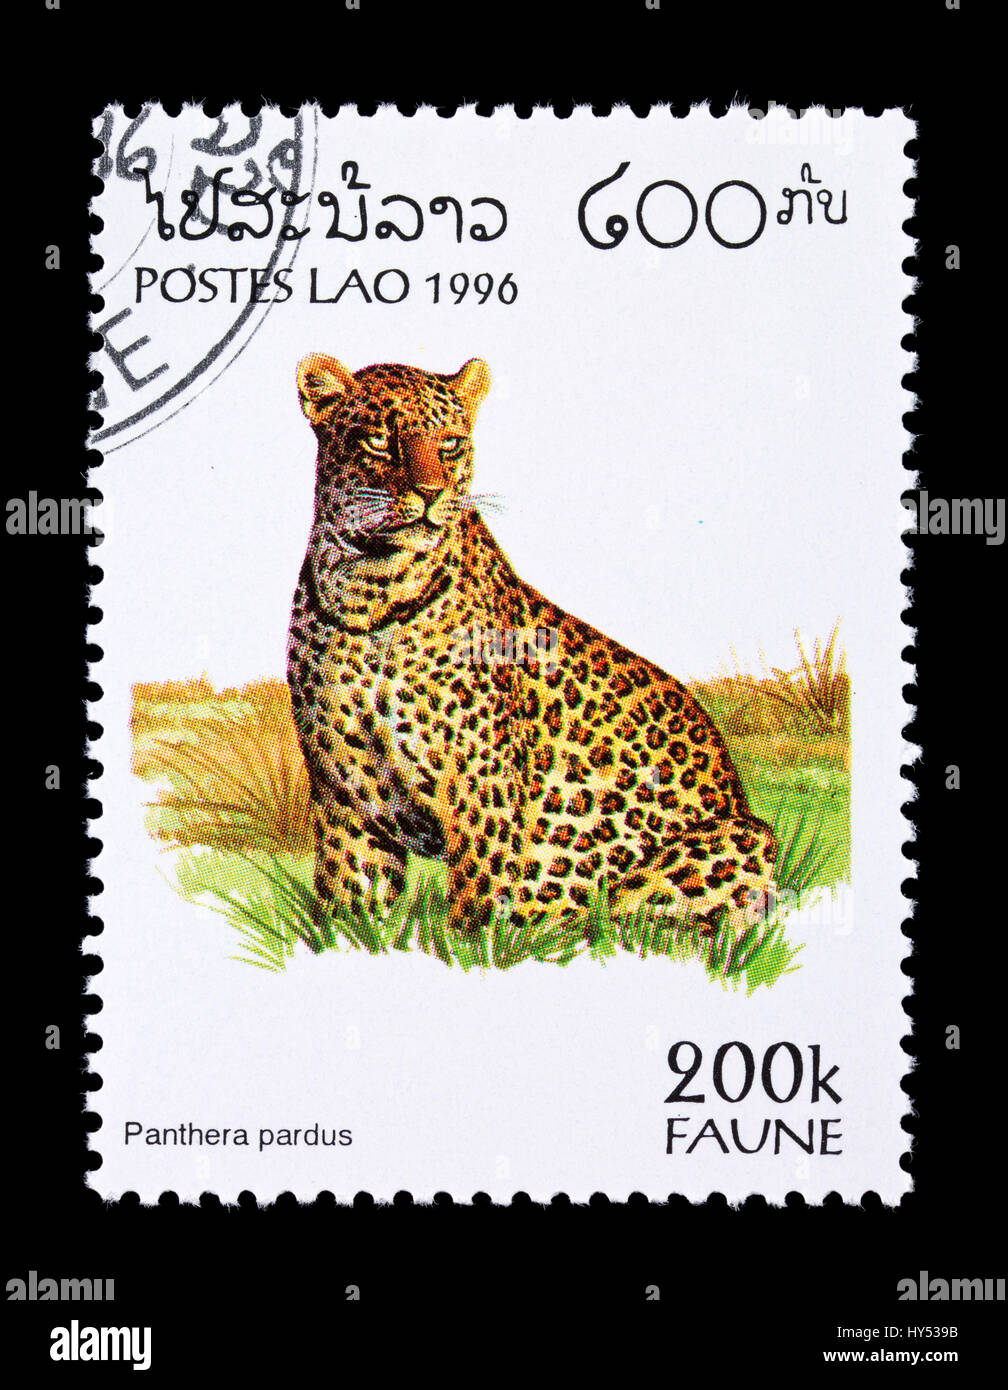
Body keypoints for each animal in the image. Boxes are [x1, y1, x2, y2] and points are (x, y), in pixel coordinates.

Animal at [286, 353, 778, 936]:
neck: (365, 593)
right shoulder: (348, 806)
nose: (430, 494)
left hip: (729, 848)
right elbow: (351, 910)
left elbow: (475, 918)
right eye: (380, 441)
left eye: (450, 444)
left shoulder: (484, 803)